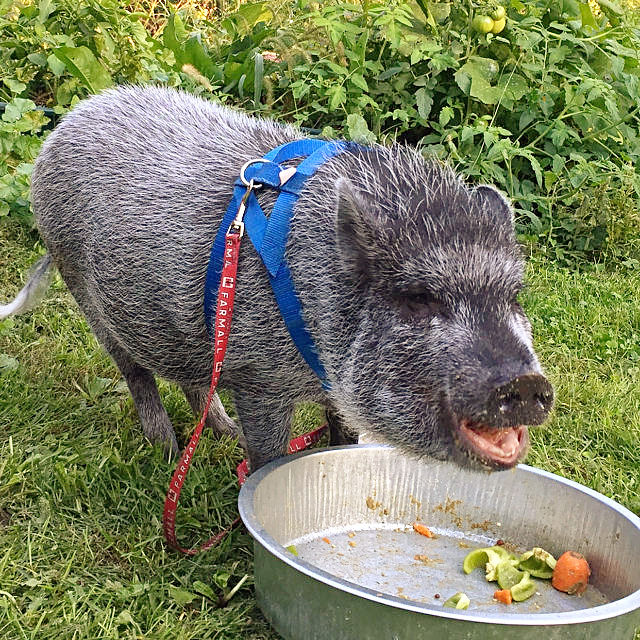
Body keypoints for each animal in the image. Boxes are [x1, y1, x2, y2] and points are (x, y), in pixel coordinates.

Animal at [1, 85, 553, 472]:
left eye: (514, 297)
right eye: (419, 298)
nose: (526, 382)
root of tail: (63, 127)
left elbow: (341, 434)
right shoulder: (259, 380)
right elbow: (268, 455)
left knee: (194, 381)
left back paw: (222, 435)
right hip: (85, 291)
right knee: (138, 375)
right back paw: (166, 449)